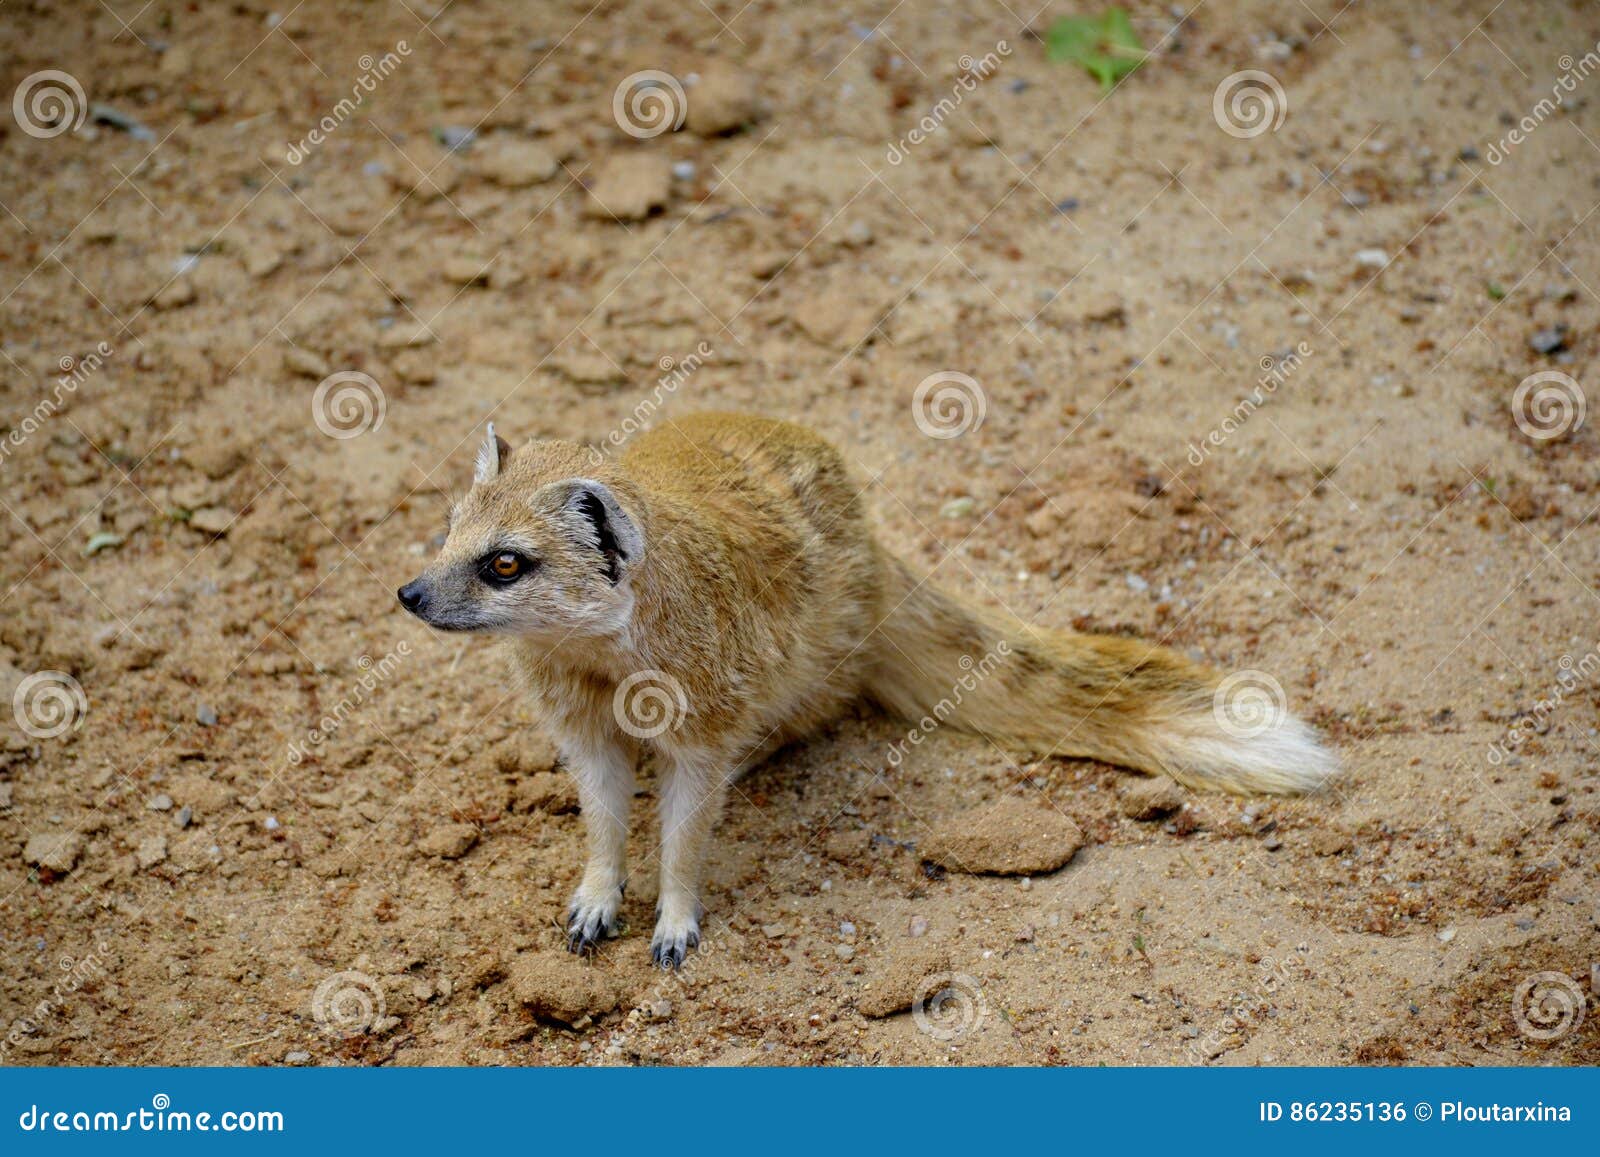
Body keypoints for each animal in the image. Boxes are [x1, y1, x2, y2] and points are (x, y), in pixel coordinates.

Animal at [398, 412, 1336, 967]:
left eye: (506, 563)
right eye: (446, 531)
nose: (409, 593)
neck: (603, 663)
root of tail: (881, 554)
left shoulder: (707, 698)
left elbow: (689, 816)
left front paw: (674, 916)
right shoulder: (574, 707)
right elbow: (599, 799)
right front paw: (596, 897)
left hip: (809, 662)